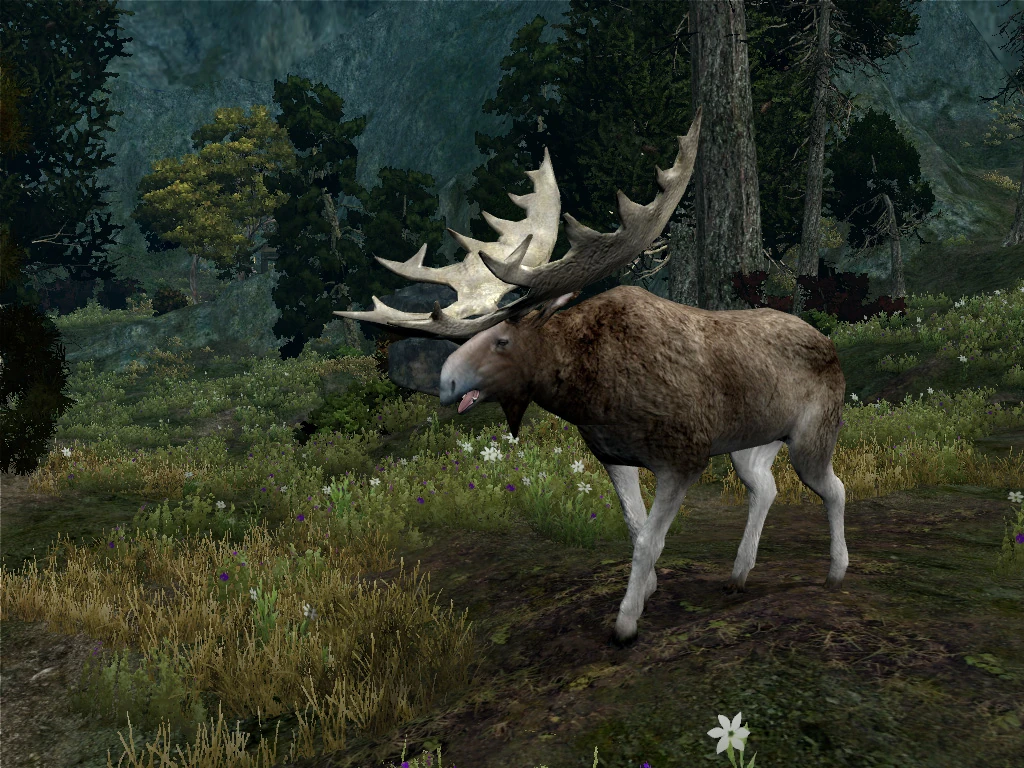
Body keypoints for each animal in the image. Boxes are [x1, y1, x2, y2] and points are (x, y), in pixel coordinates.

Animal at [334, 108, 849, 646]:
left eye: (503, 340)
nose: (445, 383)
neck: (593, 395)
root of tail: (831, 346)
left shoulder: (684, 457)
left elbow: (650, 539)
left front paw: (625, 622)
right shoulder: (613, 456)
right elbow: (636, 529)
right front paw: (646, 591)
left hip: (812, 435)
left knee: (834, 488)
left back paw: (835, 573)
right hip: (751, 444)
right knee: (764, 488)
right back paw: (739, 574)